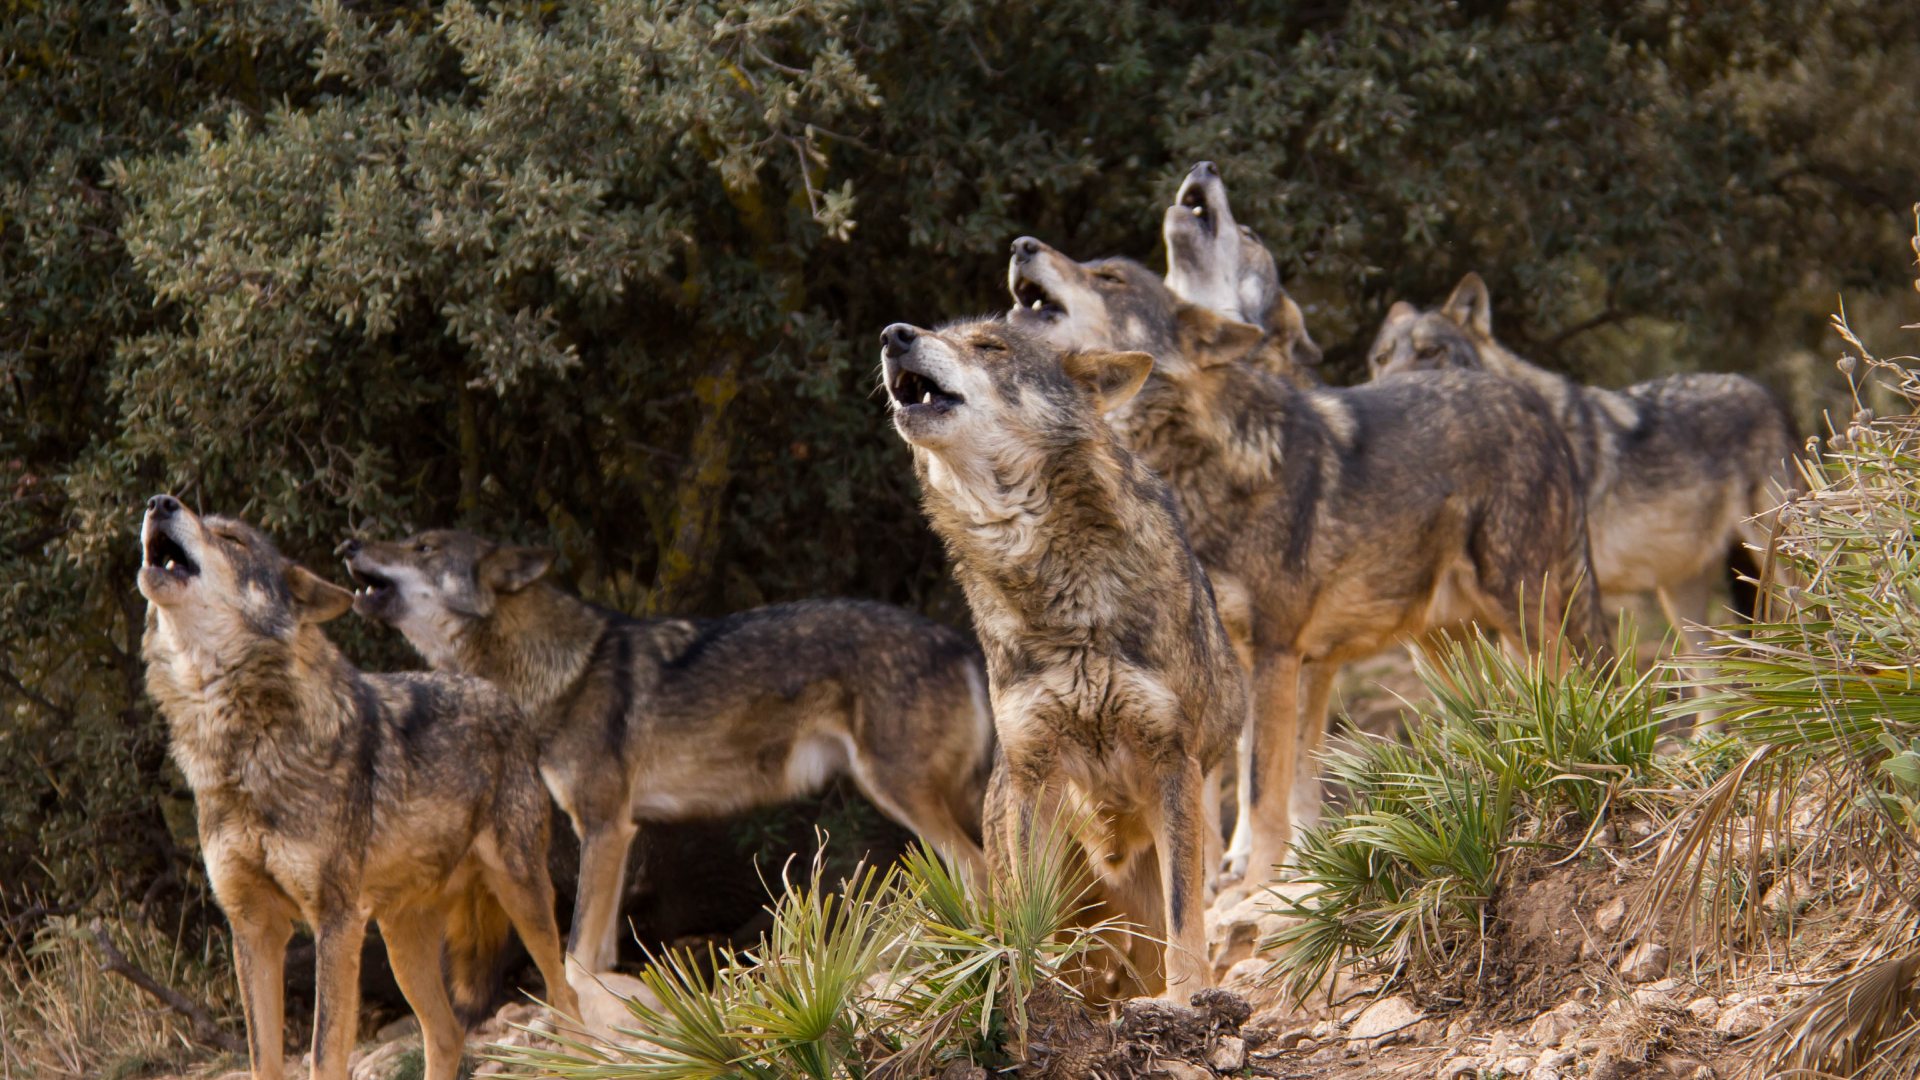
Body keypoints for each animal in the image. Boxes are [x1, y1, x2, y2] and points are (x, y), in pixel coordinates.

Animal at [136, 496, 578, 1080]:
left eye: (231, 539)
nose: (159, 502)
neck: (242, 751)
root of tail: (496, 693)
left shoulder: (335, 923)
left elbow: (325, 1054)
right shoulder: (254, 928)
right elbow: (263, 1060)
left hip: (521, 893)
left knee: (566, 995)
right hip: (400, 941)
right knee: (447, 1032)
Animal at [337, 532, 993, 973]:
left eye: (422, 545)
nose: (348, 542)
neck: (557, 672)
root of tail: (957, 640)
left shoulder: (604, 826)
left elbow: (575, 954)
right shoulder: (617, 833)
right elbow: (598, 953)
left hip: (899, 791)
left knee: (979, 866)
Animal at [878, 316, 1245, 998]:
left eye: (989, 346)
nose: (893, 334)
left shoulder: (1172, 762)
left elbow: (1187, 918)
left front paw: (1190, 1000)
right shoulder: (1036, 772)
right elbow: (1031, 921)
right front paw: (1030, 993)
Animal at [1007, 240, 1605, 882]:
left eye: (1109, 277)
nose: (1021, 246)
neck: (1198, 466)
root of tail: (1534, 404)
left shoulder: (1277, 652)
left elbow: (1263, 791)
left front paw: (1261, 879)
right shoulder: (1235, 664)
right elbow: (1239, 789)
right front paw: (1233, 874)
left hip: (1520, 613)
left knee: (1564, 683)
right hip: (1440, 650)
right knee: (1488, 716)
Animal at [1368, 273, 1799, 711]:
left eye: (1430, 352)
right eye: (1382, 359)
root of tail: (1762, 390)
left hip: (1775, 562)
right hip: (1681, 597)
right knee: (1712, 685)